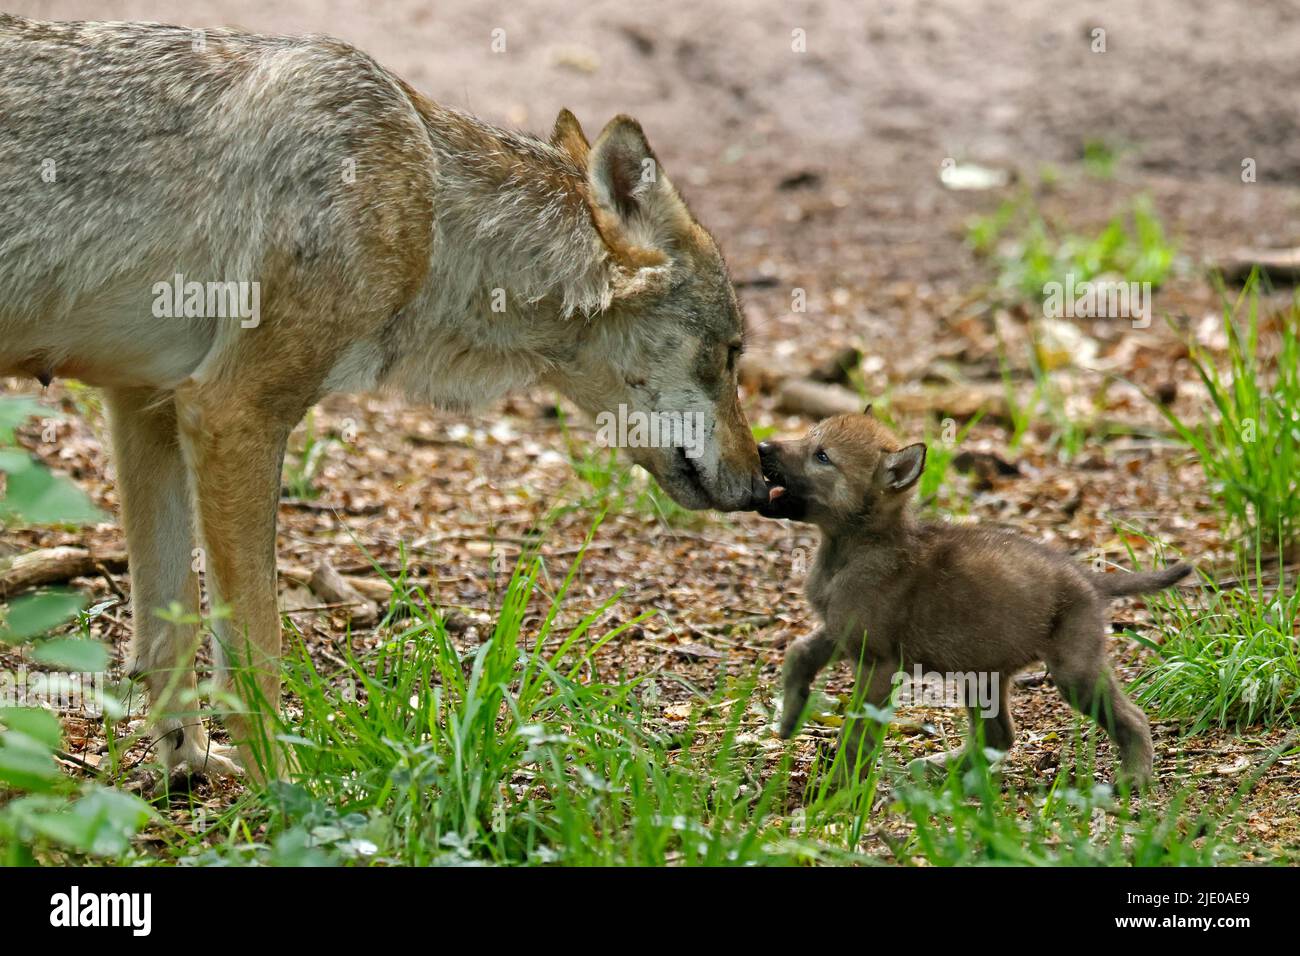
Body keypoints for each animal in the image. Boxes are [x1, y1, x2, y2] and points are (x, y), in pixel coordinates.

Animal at [0, 14, 766, 781]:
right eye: (731, 353)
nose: (762, 483)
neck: (433, 208)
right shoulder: (231, 412)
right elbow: (256, 652)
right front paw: (285, 792)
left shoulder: (145, 403)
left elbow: (167, 636)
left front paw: (187, 768)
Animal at [756, 411, 1190, 786]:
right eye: (809, 437)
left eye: (822, 456)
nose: (761, 447)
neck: (847, 550)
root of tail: (1089, 578)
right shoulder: (838, 629)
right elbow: (797, 653)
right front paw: (790, 717)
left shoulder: (876, 661)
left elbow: (857, 727)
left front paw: (838, 787)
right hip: (982, 673)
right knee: (999, 735)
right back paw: (938, 767)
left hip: (1073, 671)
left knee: (1133, 716)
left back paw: (1135, 776)